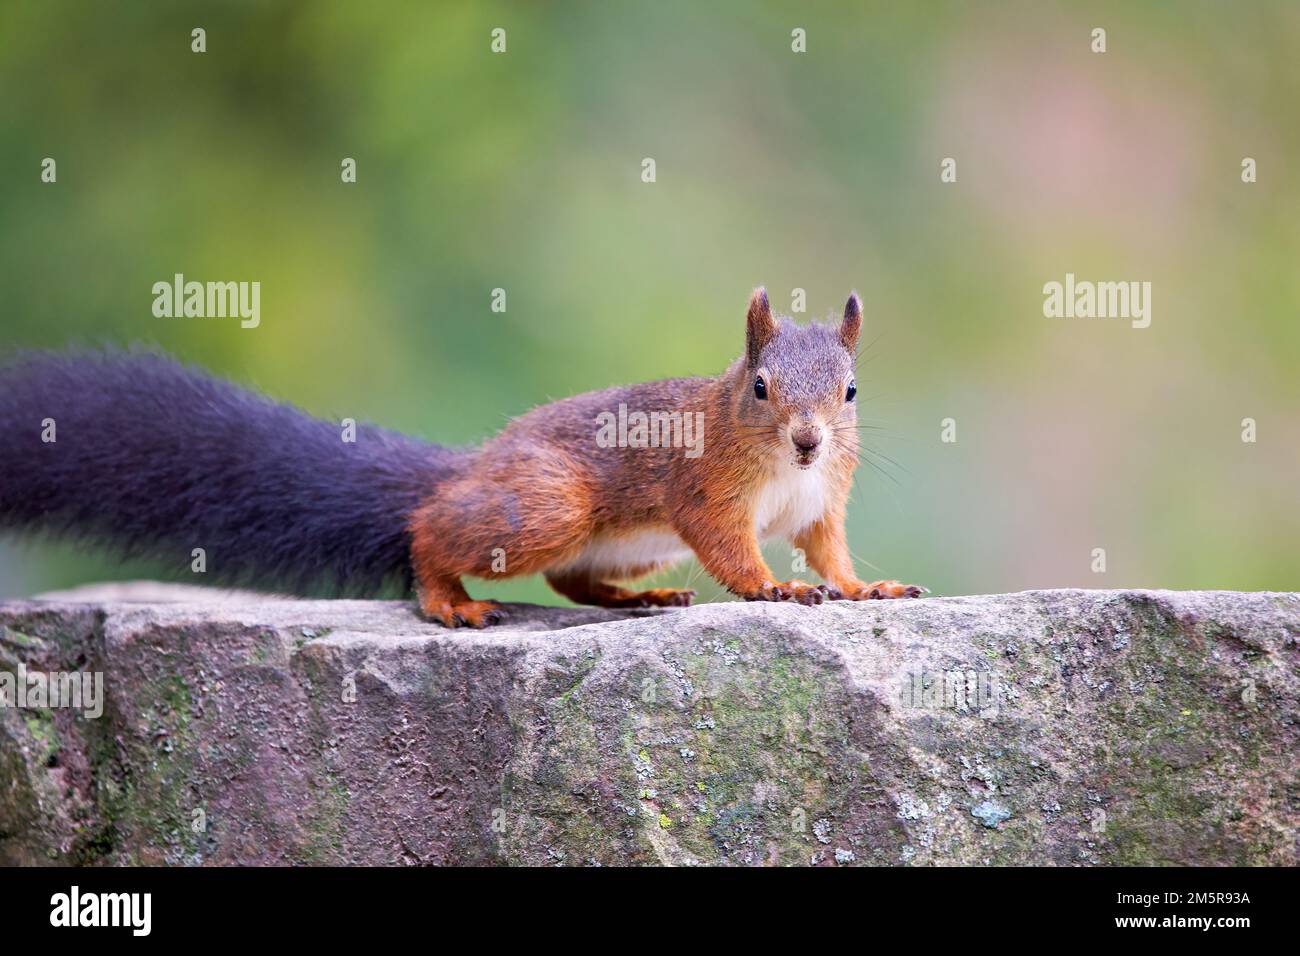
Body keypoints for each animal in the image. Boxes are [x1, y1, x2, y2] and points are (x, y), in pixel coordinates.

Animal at [0, 288, 925, 627]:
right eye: (762, 388)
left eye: (850, 392)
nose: (808, 440)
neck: (785, 473)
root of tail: (473, 465)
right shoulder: (706, 490)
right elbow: (732, 547)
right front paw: (773, 587)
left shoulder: (822, 503)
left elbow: (830, 552)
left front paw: (862, 587)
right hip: (549, 503)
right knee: (432, 527)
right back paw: (449, 600)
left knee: (571, 580)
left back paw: (643, 595)